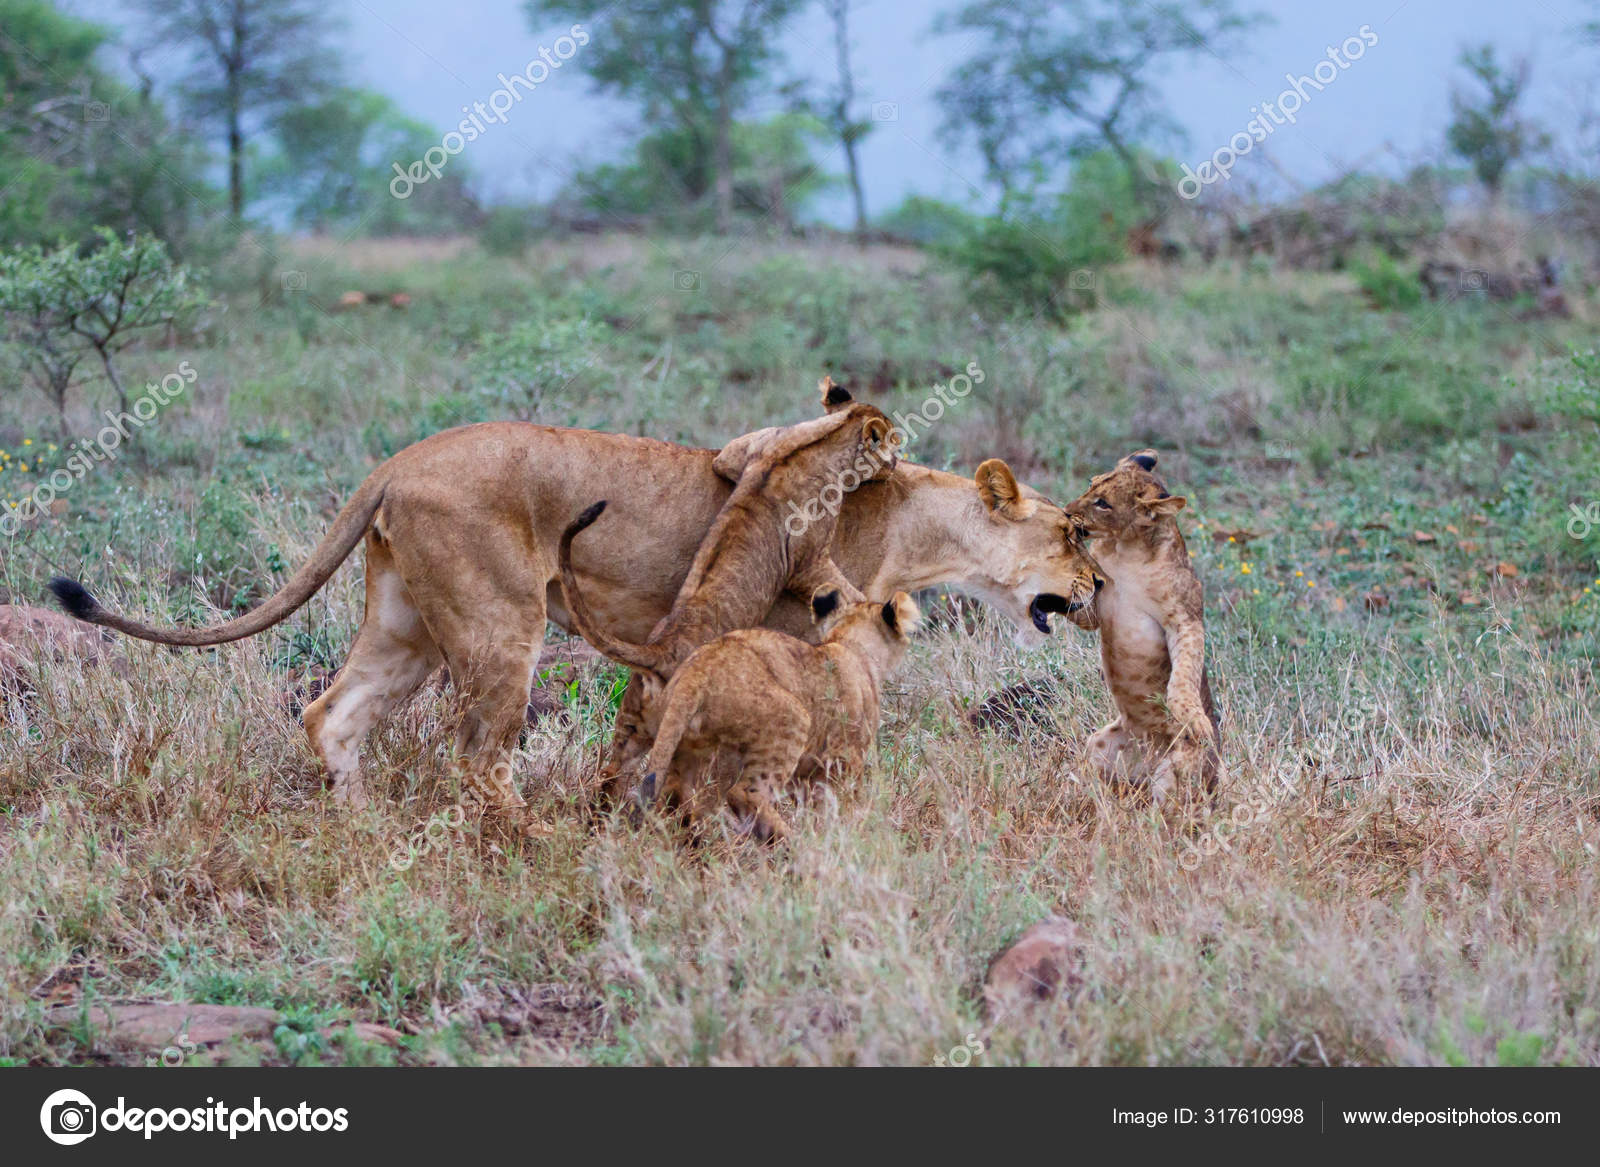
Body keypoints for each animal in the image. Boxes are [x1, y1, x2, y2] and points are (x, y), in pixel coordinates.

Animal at [638, 588, 920, 843]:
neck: (849, 643)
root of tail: (697, 671)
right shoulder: (846, 757)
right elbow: (846, 802)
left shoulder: (807, 773)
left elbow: (814, 809)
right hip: (793, 720)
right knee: (744, 794)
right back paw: (790, 843)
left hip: (687, 746)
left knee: (676, 795)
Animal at [1063, 450, 1220, 804]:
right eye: (1090, 483)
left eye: (1103, 503)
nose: (1065, 513)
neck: (1126, 548)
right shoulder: (1095, 612)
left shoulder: (1185, 619)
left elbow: (1185, 671)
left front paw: (1194, 718)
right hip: (1098, 746)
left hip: (1175, 775)